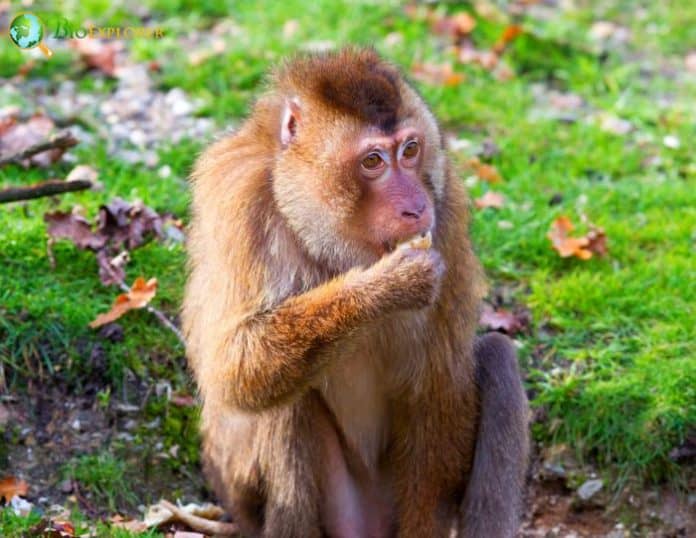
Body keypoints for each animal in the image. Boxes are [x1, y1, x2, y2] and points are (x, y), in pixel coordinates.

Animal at [182, 48, 529, 537]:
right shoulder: (239, 201)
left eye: (409, 150)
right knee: (284, 400)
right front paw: (386, 285)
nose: (416, 207)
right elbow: (234, 367)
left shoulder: (448, 213)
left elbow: (436, 381)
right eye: (373, 161)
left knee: (497, 355)